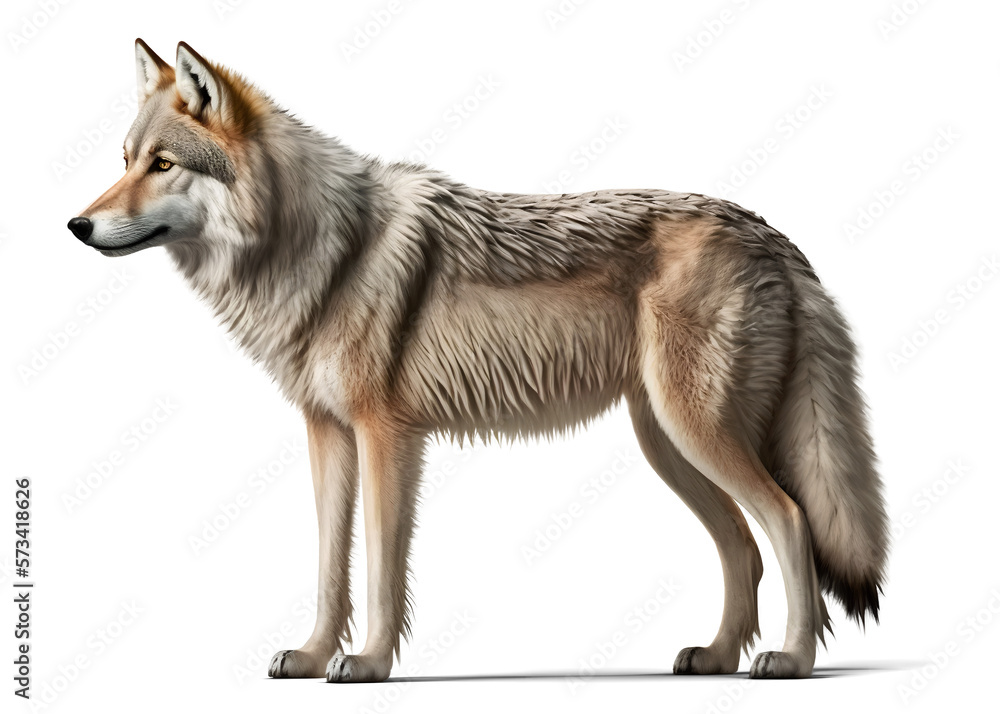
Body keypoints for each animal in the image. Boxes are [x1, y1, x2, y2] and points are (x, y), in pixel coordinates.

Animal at [68, 39, 889, 682]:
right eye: (125, 161)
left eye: (163, 164)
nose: (77, 225)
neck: (315, 249)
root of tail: (773, 235)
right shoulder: (326, 432)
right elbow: (330, 567)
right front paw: (310, 656)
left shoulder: (387, 436)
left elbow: (380, 567)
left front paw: (368, 663)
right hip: (669, 445)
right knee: (741, 545)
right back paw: (716, 656)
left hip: (697, 437)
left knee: (789, 521)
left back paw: (790, 659)